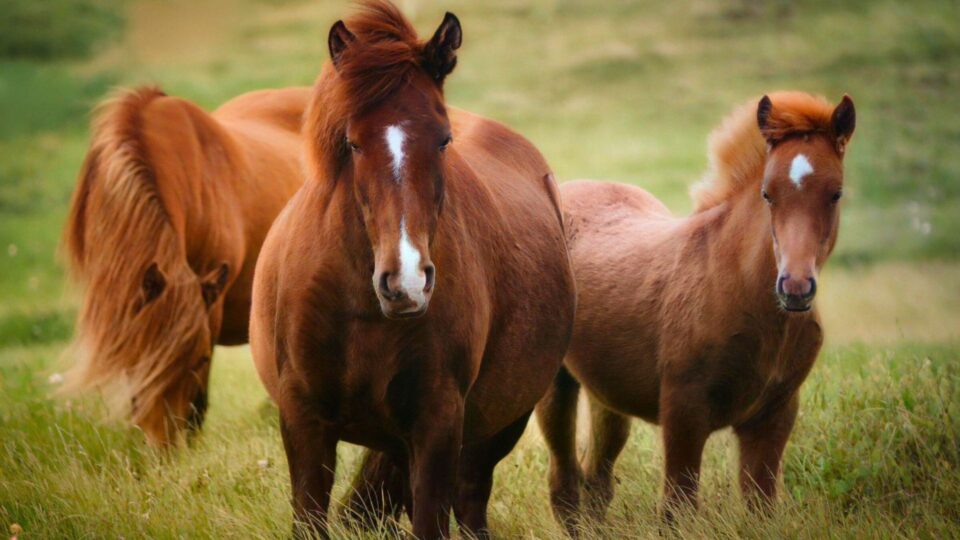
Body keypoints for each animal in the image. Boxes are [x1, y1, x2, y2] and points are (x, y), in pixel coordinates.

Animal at [248, 2, 576, 538]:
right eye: (353, 143)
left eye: (443, 140)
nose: (405, 283)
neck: (360, 310)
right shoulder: (303, 421)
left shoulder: (438, 425)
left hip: (499, 425)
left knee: (471, 501)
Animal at [536, 92, 856, 533]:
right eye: (767, 193)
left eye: (836, 193)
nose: (794, 288)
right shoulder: (684, 412)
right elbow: (677, 509)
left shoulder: (773, 416)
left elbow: (760, 508)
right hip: (555, 384)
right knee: (563, 482)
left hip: (607, 394)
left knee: (595, 479)